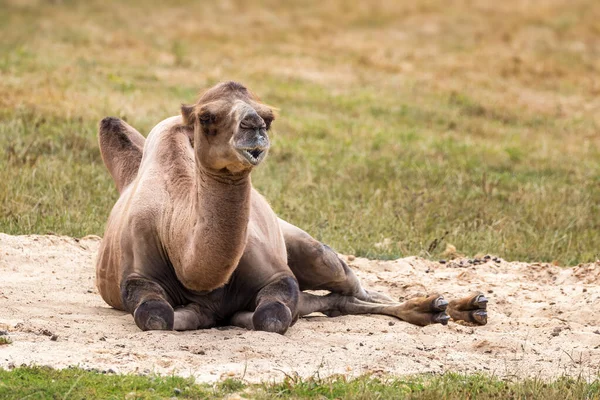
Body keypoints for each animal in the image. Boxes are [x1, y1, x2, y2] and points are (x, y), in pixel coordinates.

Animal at [95, 81, 488, 334]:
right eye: (206, 117)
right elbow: (156, 314)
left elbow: (272, 314)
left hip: (313, 251)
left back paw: (457, 306)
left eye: (268, 117)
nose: (253, 126)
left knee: (353, 285)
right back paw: (443, 308)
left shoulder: (277, 275)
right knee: (340, 301)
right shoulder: (139, 276)